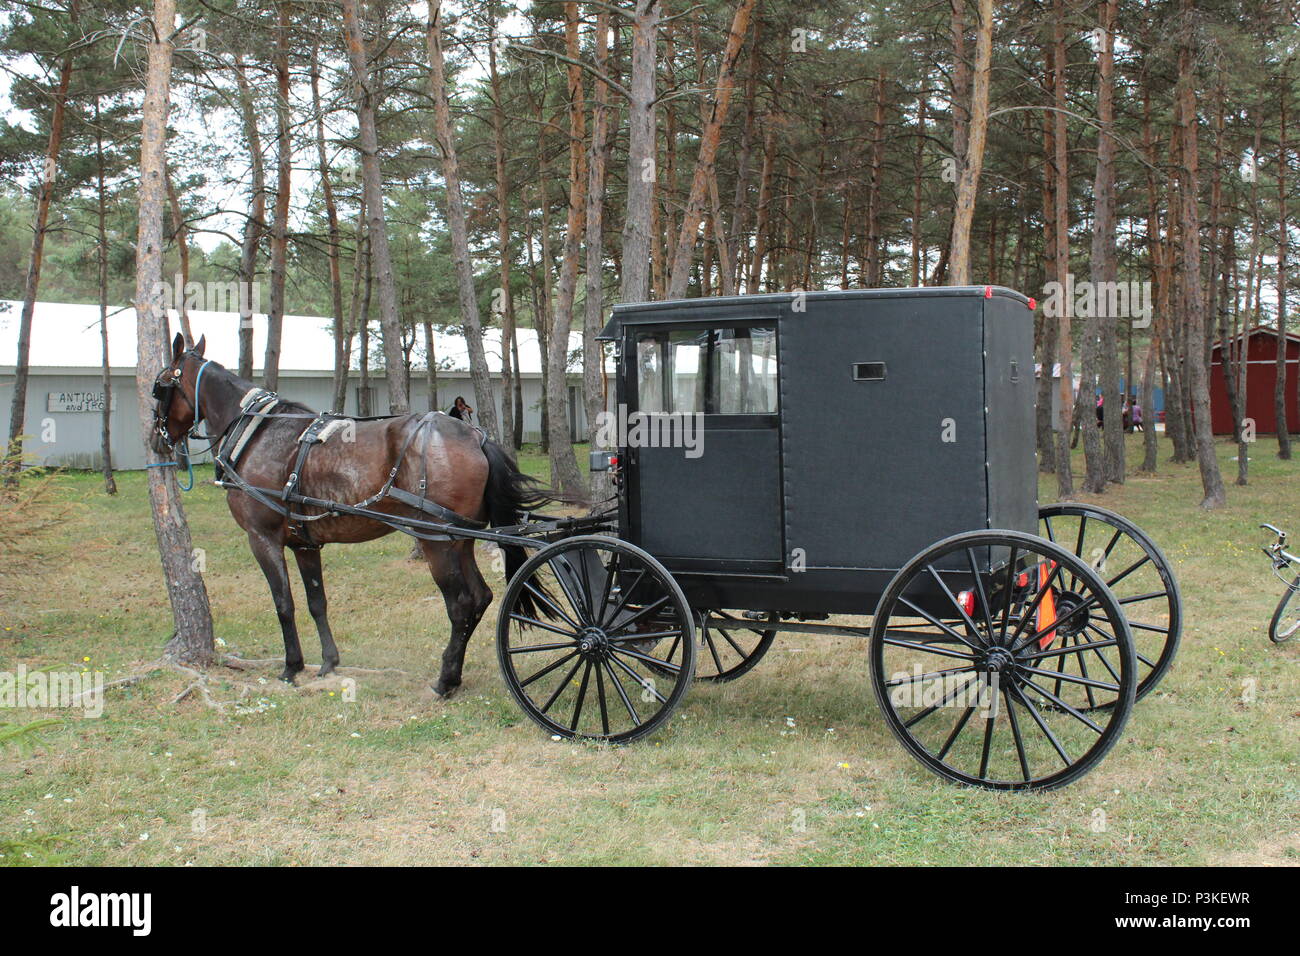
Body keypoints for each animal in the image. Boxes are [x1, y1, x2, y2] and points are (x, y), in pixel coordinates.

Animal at [150, 333, 557, 696]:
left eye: (159, 387)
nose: (155, 439)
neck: (257, 431)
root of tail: (475, 436)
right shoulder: (305, 543)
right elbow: (316, 602)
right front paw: (328, 662)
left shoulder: (261, 538)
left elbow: (284, 603)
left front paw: (292, 667)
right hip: (458, 539)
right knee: (481, 597)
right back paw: (452, 672)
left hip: (435, 540)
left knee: (462, 604)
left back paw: (445, 681)